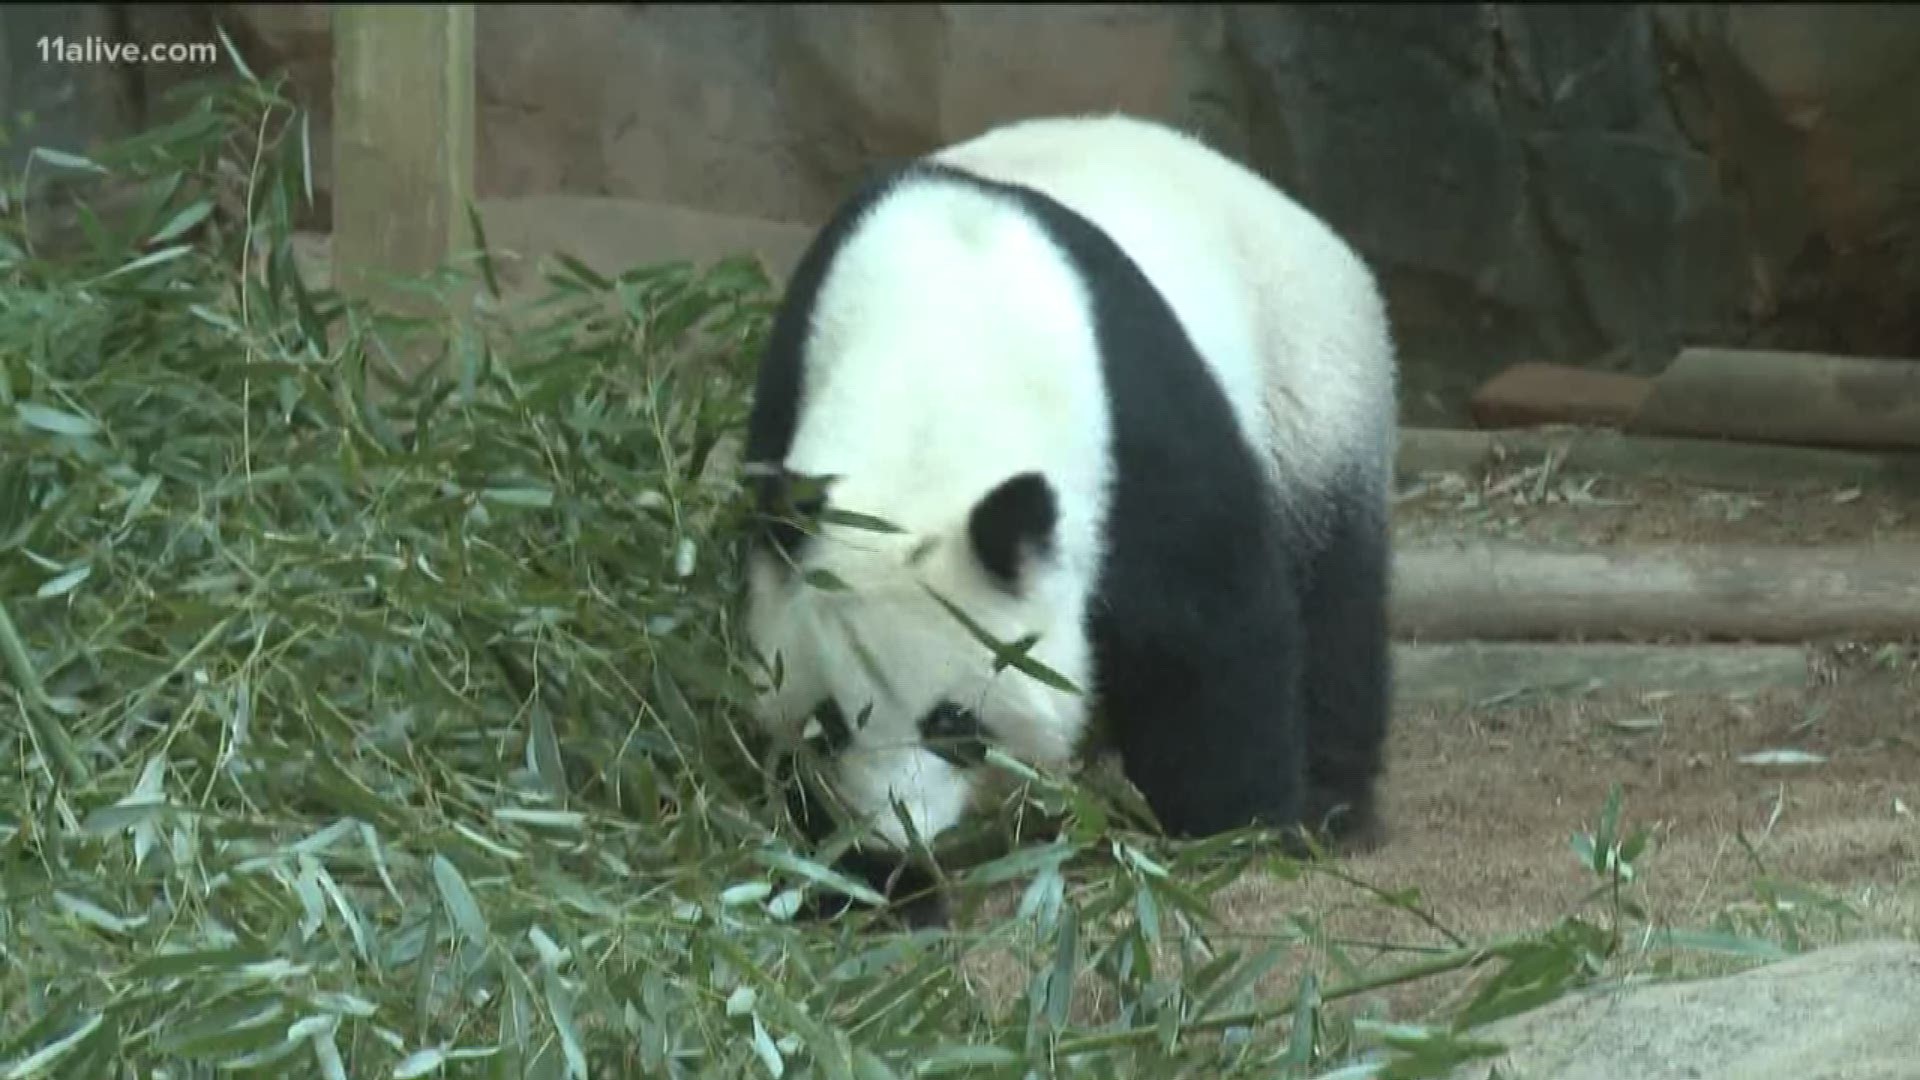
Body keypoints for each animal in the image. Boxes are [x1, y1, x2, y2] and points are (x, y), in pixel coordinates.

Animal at [740, 113, 1398, 926]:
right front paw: (872, 883)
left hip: (1312, 390)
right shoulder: (785, 398)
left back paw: (1334, 805)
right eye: (827, 722)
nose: (892, 831)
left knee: (1336, 595)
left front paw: (1234, 835)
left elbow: (1210, 630)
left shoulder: (1139, 433)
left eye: (952, 722)